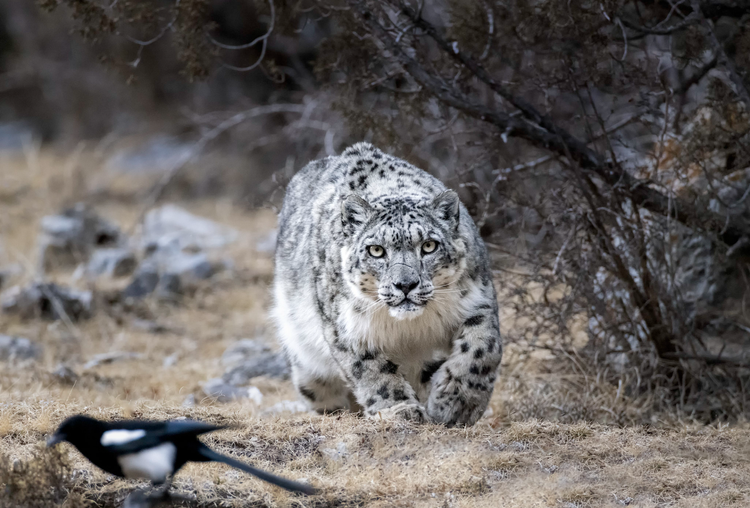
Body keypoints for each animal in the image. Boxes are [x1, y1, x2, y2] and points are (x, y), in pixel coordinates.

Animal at [270, 142, 502, 426]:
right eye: (376, 250)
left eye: (429, 245)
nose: (405, 284)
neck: (407, 329)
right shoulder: (348, 327)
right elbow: (373, 372)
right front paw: (399, 410)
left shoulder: (478, 302)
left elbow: (481, 350)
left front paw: (454, 405)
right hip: (308, 370)